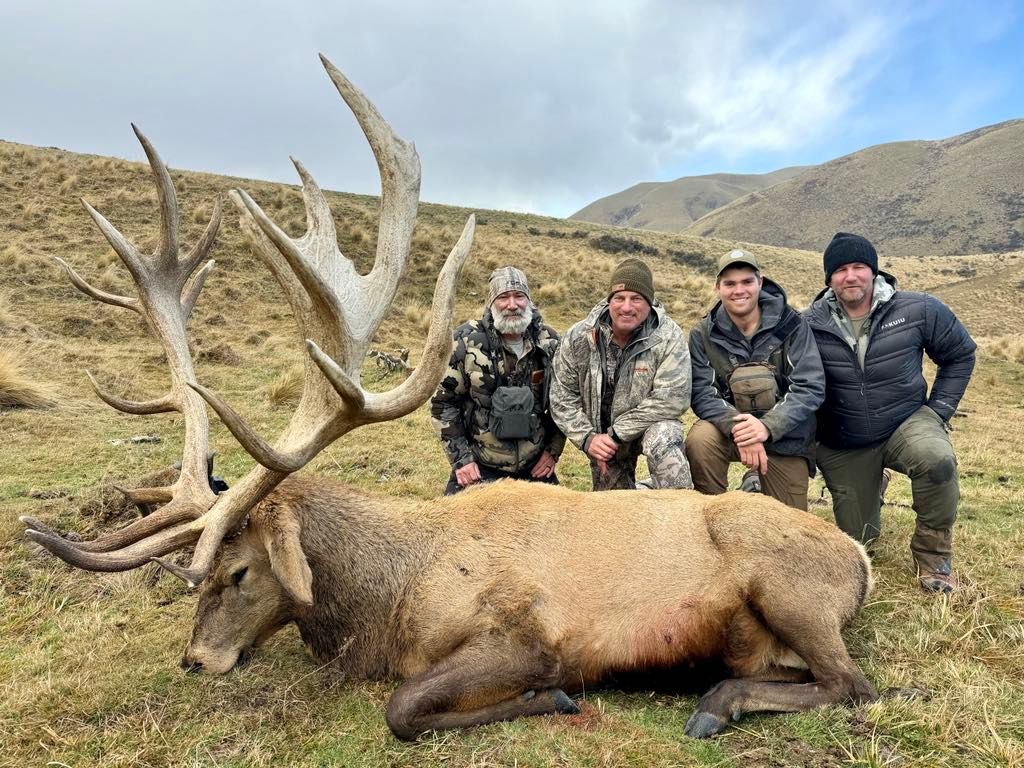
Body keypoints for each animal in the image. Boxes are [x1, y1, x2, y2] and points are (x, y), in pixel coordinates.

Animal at [22, 55, 878, 741]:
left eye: (238, 570)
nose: (197, 660)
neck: (388, 601)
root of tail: (860, 559)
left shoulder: (528, 634)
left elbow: (403, 708)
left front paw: (552, 698)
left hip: (784, 585)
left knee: (854, 685)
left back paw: (714, 700)